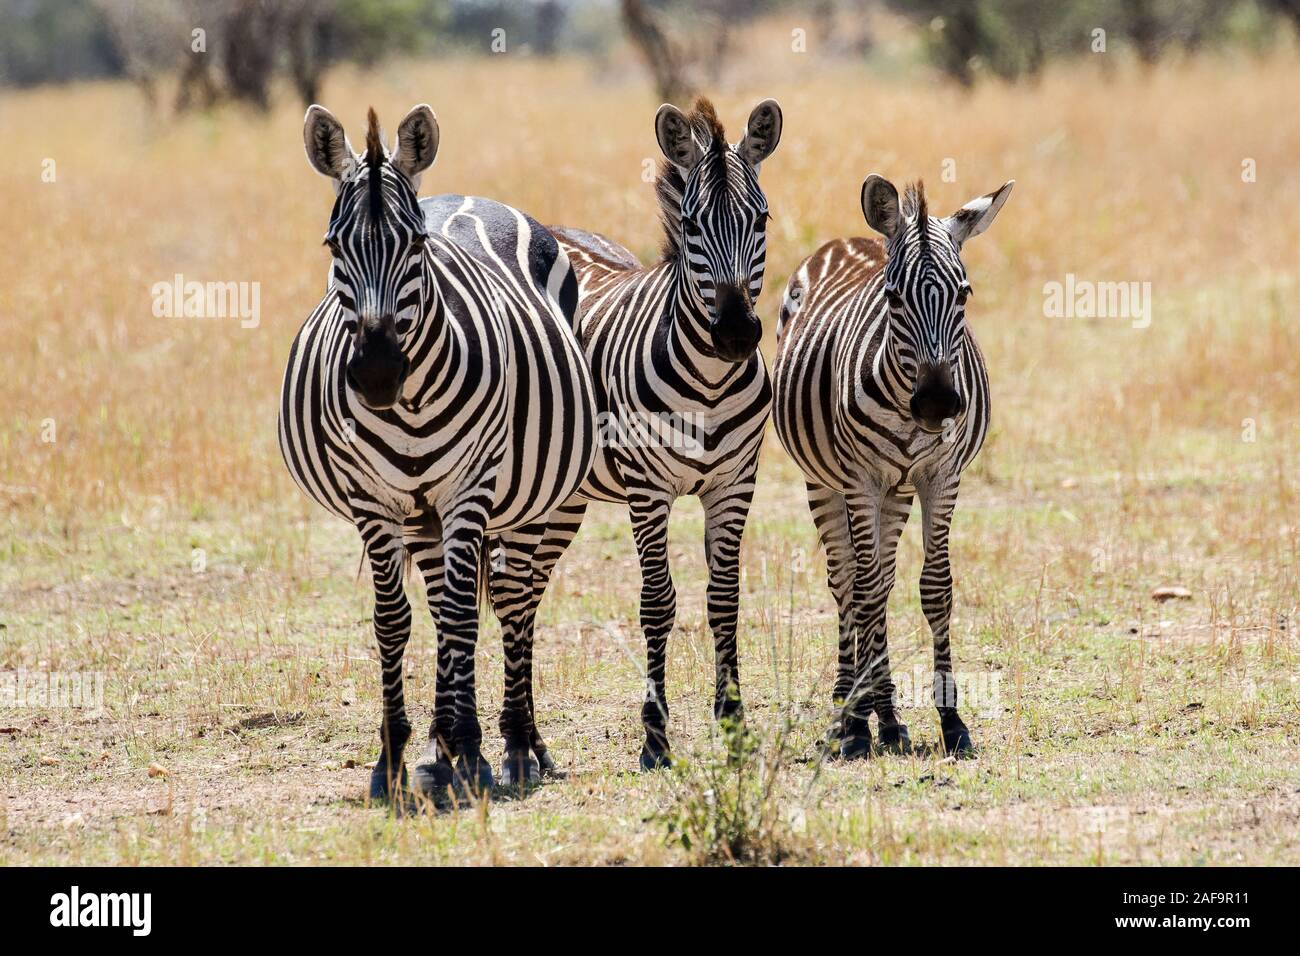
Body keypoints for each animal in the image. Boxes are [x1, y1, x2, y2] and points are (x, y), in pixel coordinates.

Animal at [278, 104, 598, 798]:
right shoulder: (373, 499)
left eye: (416, 246)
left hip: (525, 502)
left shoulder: (468, 490)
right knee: (455, 602)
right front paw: (394, 756)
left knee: (514, 601)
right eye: (334, 247)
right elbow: (395, 619)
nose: (375, 374)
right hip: (422, 514)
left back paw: (516, 743)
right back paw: (442, 743)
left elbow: (460, 614)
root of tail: (466, 197)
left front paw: (472, 750)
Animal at [469, 96, 784, 772]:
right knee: (509, 591)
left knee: (526, 594)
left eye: (762, 218)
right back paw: (518, 742)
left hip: (563, 501)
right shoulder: (647, 490)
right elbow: (658, 602)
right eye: (691, 224)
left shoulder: (734, 484)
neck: (710, 383)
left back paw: (535, 742)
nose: (735, 334)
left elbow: (725, 599)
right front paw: (655, 737)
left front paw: (733, 724)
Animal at [773, 173, 1013, 758]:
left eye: (964, 294)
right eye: (893, 298)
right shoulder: (860, 481)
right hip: (824, 480)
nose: (936, 403)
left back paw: (886, 714)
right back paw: (849, 706)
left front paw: (951, 720)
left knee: (880, 579)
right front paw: (856, 726)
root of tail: (848, 240)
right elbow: (860, 591)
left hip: (898, 492)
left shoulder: (941, 477)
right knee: (847, 580)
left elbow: (934, 587)